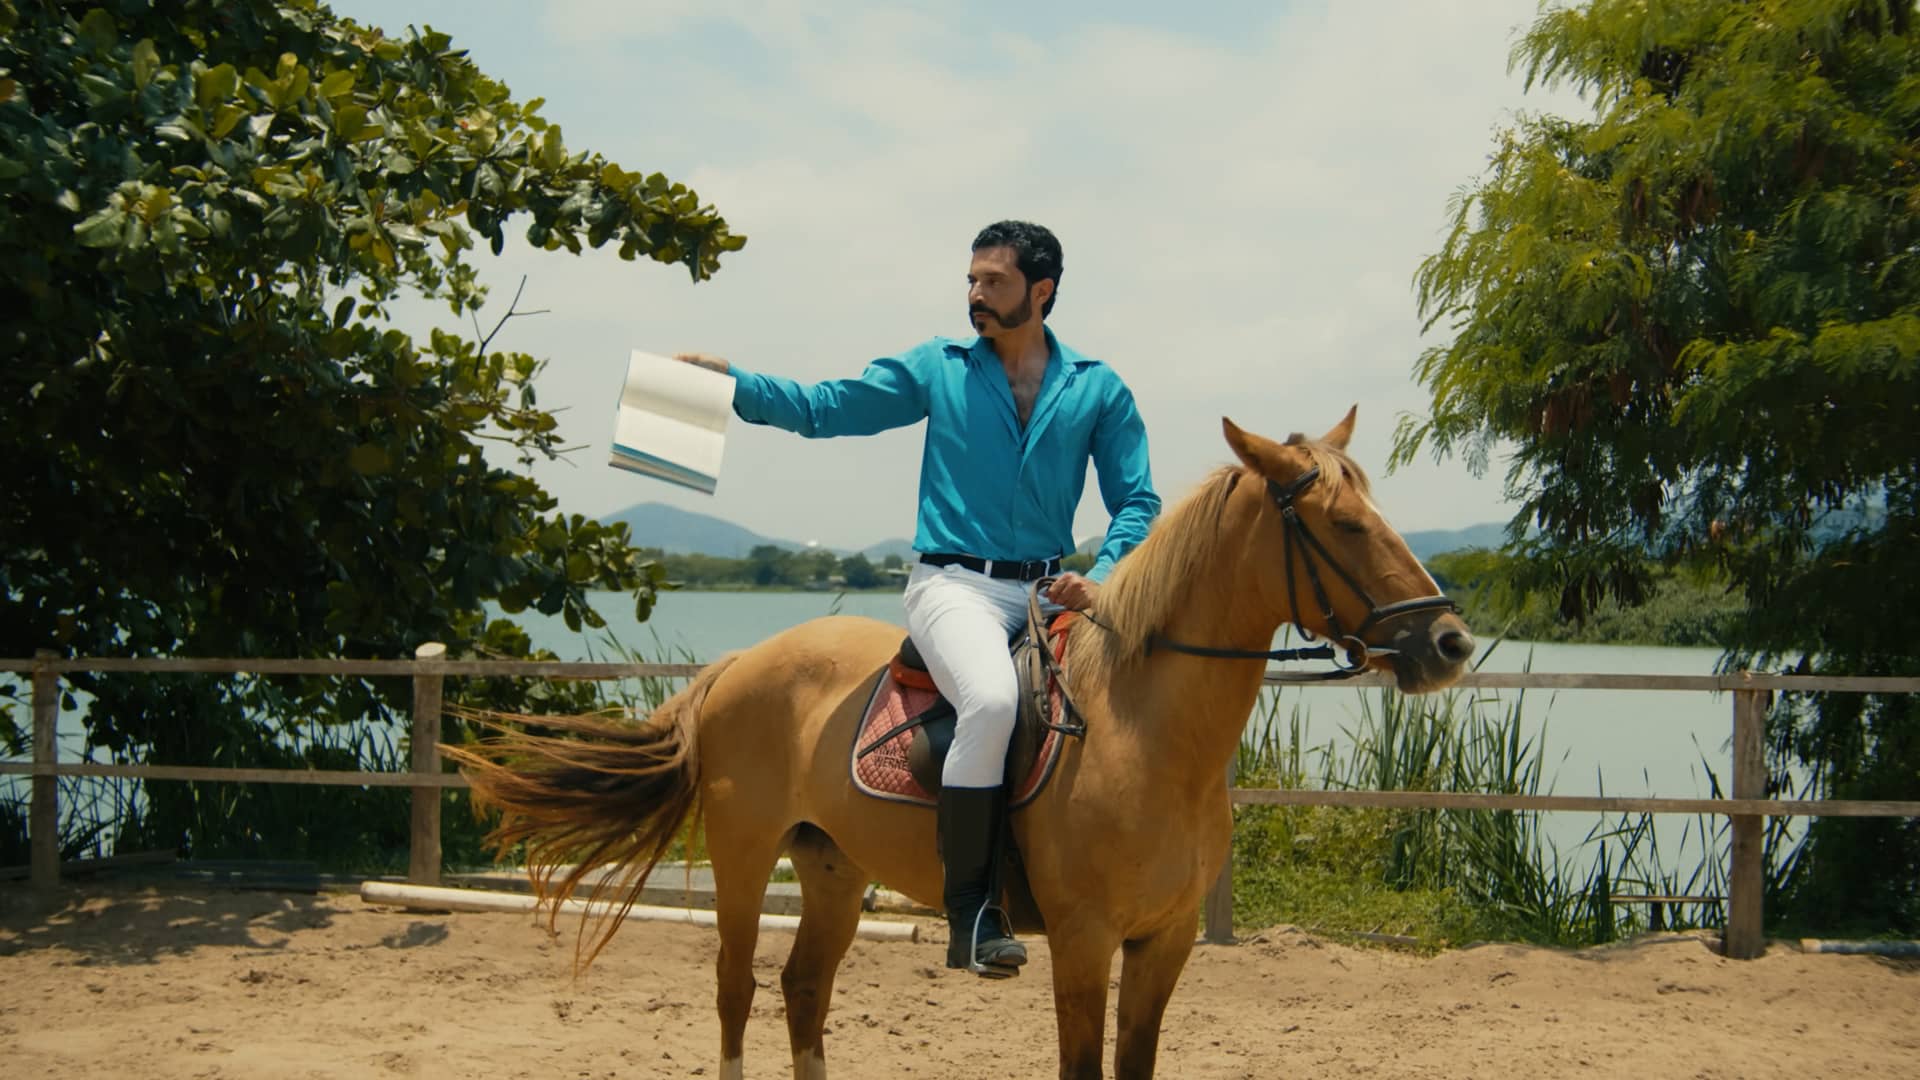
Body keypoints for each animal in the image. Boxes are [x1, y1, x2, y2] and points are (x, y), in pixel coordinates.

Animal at [447, 409, 1476, 1079]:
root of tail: (746, 659)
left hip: (830, 868)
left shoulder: (1165, 943)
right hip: (743, 860)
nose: (1450, 642)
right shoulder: (1083, 943)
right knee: (737, 992)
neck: (1145, 733)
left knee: (802, 990)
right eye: (1344, 525)